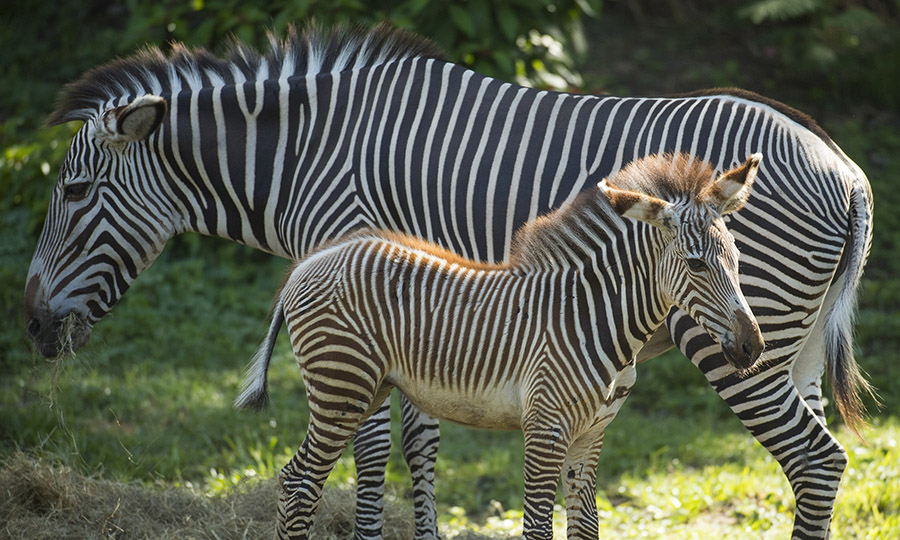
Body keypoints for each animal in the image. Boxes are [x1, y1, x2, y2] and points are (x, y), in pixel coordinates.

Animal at [235, 152, 765, 540]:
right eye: (696, 265)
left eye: (738, 258)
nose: (751, 348)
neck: (591, 314)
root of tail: (311, 261)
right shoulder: (546, 428)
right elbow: (537, 528)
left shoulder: (590, 436)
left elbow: (586, 528)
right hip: (340, 389)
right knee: (302, 483)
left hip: (367, 389)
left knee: (295, 477)